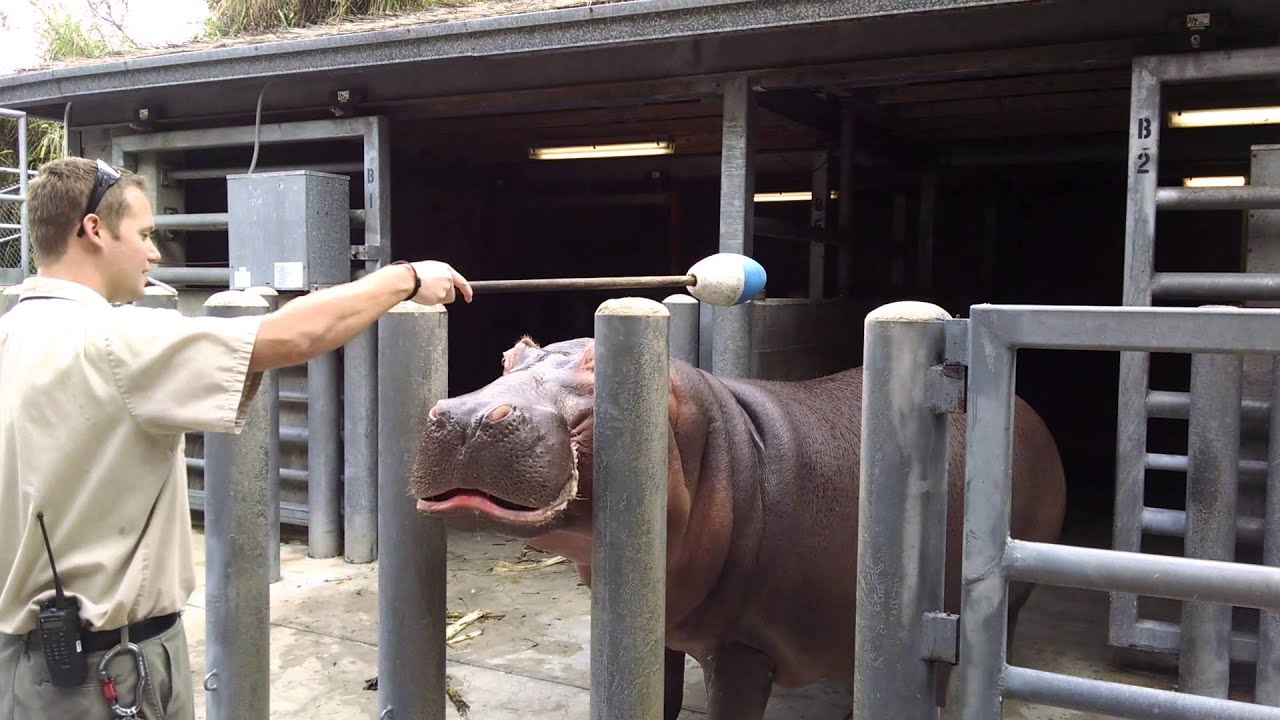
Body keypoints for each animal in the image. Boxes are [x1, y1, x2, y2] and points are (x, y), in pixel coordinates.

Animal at [410, 335, 1068, 719]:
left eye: (603, 364)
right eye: (505, 358)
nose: (466, 416)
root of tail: (1029, 411)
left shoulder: (742, 648)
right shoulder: (660, 629)